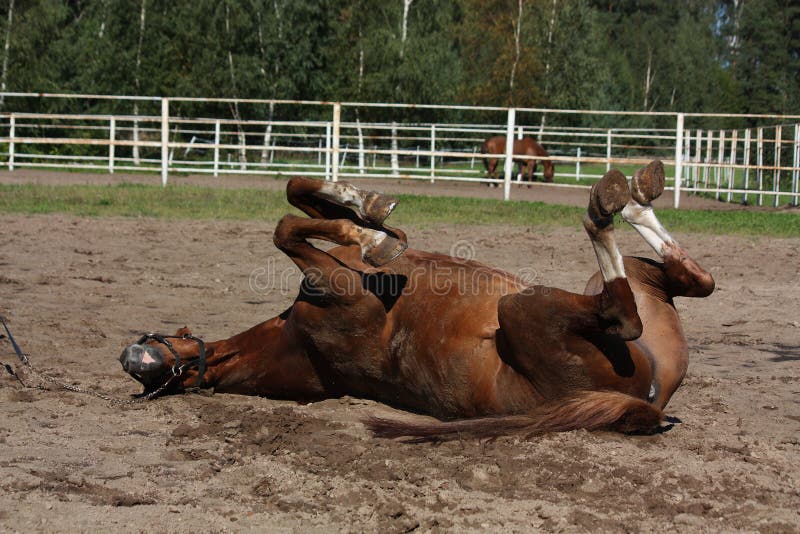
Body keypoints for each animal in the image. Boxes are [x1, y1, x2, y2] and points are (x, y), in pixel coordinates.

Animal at [119, 160, 714, 440]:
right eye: (155, 384)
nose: (131, 358)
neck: (291, 342)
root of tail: (649, 401)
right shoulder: (345, 296)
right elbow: (287, 228)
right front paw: (370, 234)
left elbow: (297, 197)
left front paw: (368, 212)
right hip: (527, 309)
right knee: (624, 310)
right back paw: (607, 204)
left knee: (693, 281)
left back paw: (634, 195)